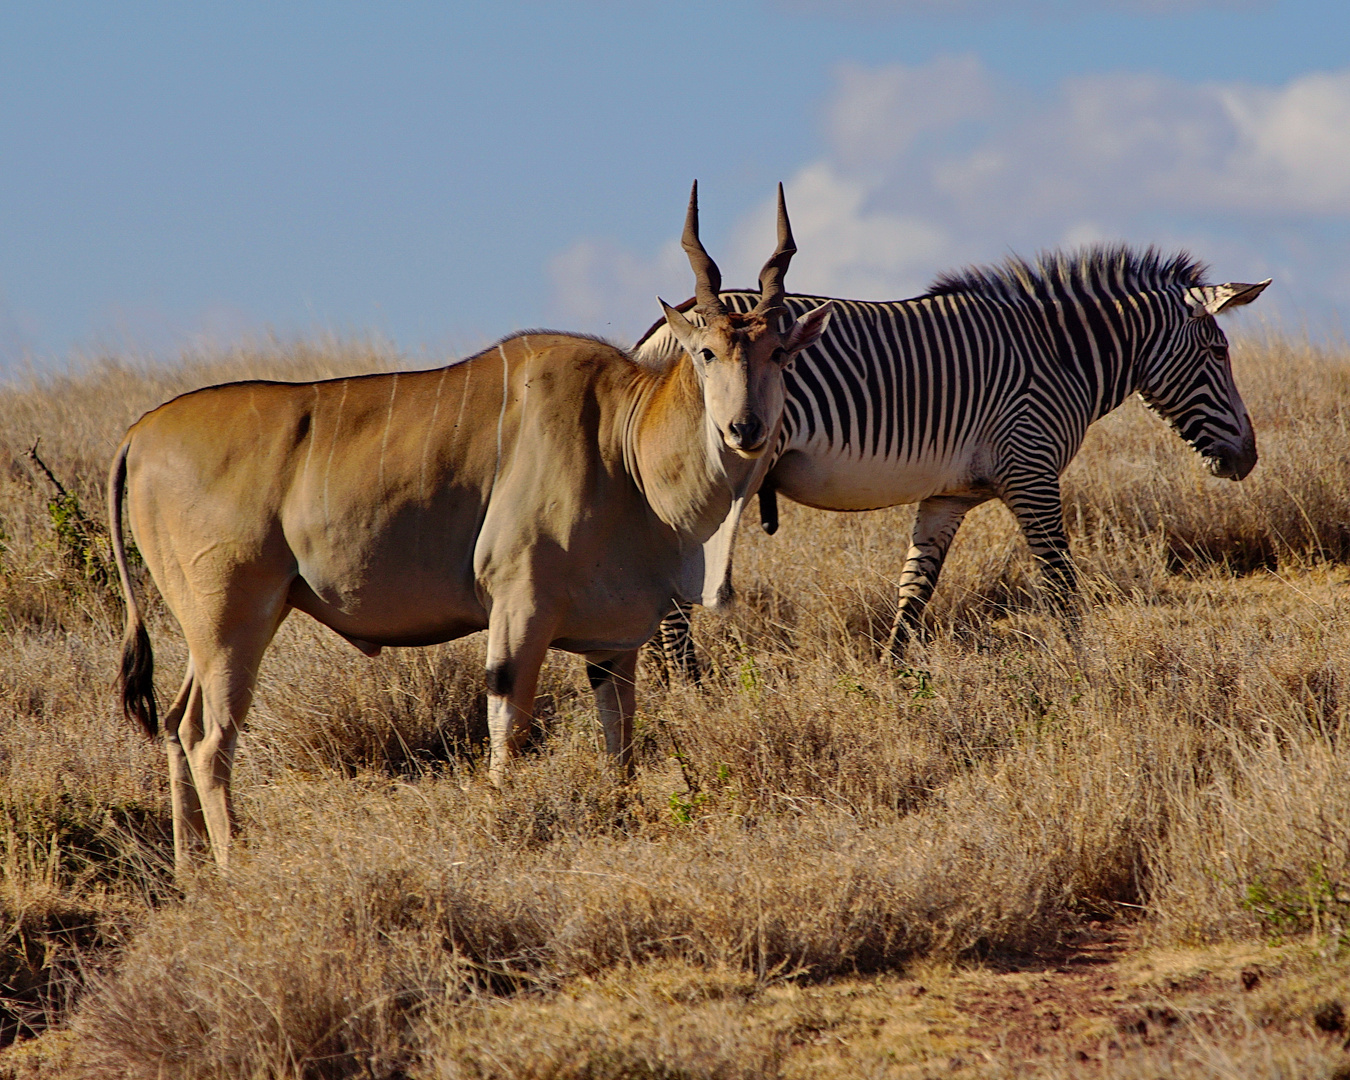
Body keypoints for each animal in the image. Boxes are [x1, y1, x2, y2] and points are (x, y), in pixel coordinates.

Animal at [113, 186, 831, 874]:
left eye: (778, 353)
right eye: (706, 352)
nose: (744, 428)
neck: (622, 441)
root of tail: (140, 433)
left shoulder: (614, 642)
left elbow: (621, 742)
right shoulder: (520, 607)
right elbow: (508, 725)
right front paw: (501, 823)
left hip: (211, 628)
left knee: (176, 724)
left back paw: (190, 870)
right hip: (233, 619)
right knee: (210, 737)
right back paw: (233, 865)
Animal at [634, 245, 1263, 669]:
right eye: (1218, 351)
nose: (1248, 460)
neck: (1060, 357)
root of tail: (669, 325)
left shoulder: (948, 495)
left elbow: (915, 589)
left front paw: (893, 681)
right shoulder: (1031, 470)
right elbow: (1061, 583)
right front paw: (1085, 671)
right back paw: (690, 688)